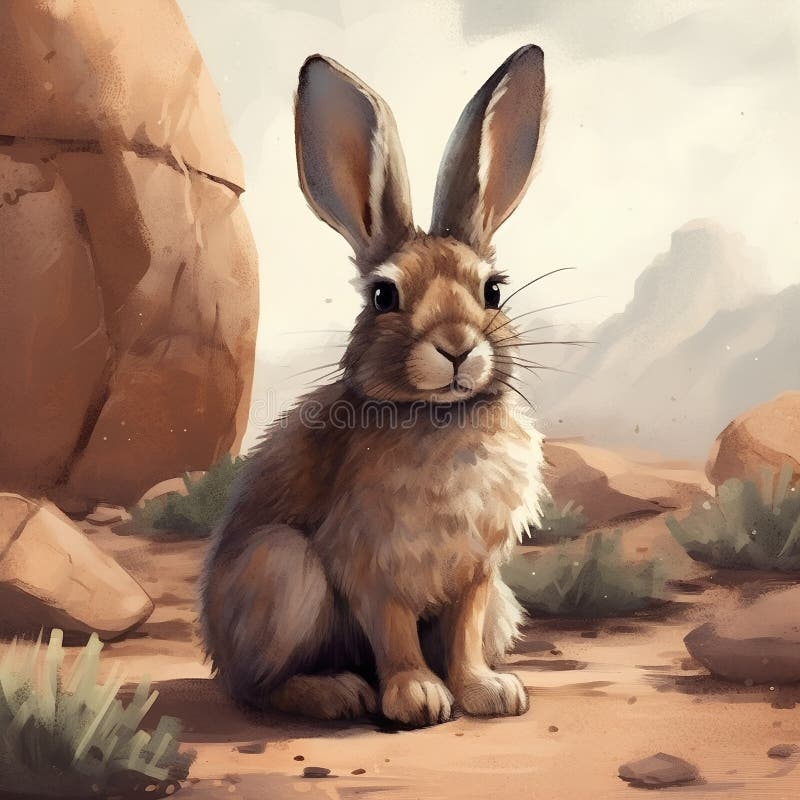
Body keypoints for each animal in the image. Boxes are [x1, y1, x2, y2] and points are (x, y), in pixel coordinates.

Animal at [201, 44, 548, 727]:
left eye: (493, 291)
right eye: (384, 295)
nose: (456, 347)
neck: (439, 418)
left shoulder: (477, 575)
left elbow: (464, 635)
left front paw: (488, 694)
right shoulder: (369, 566)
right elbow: (393, 633)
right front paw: (418, 698)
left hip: (500, 602)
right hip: (285, 574)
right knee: (257, 688)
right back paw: (337, 692)